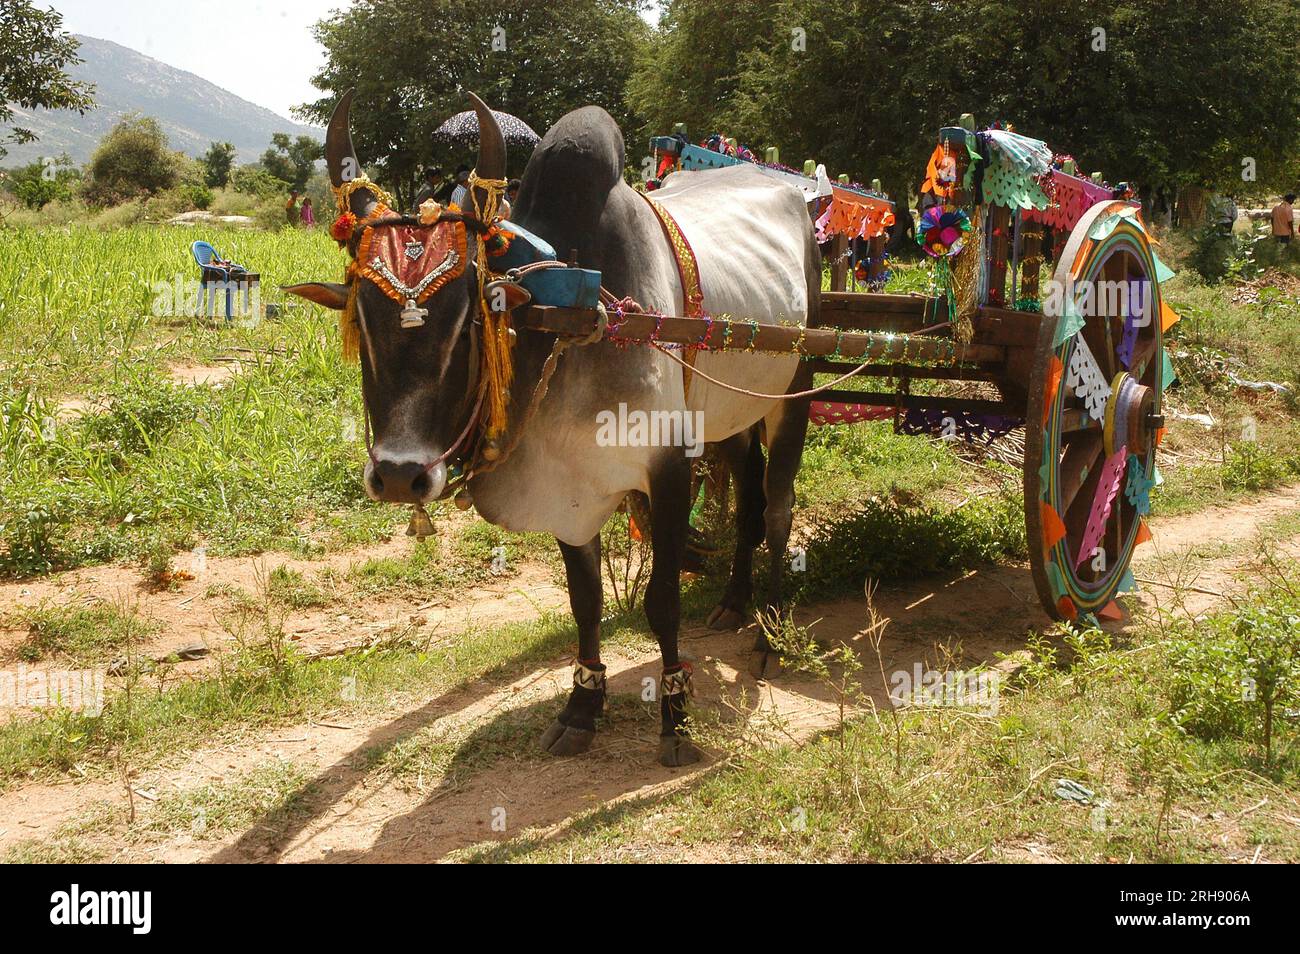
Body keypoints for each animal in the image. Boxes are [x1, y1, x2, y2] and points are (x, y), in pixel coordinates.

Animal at [286, 92, 818, 766]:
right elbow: (584, 602)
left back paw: (772, 631)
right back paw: (732, 603)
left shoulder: (669, 467)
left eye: (468, 321)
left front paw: (675, 718)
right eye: (361, 320)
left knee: (776, 507)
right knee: (748, 497)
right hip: (733, 414)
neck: (567, 321)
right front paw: (582, 707)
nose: (401, 476)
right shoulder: (569, 488)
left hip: (795, 391)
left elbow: (662, 602)